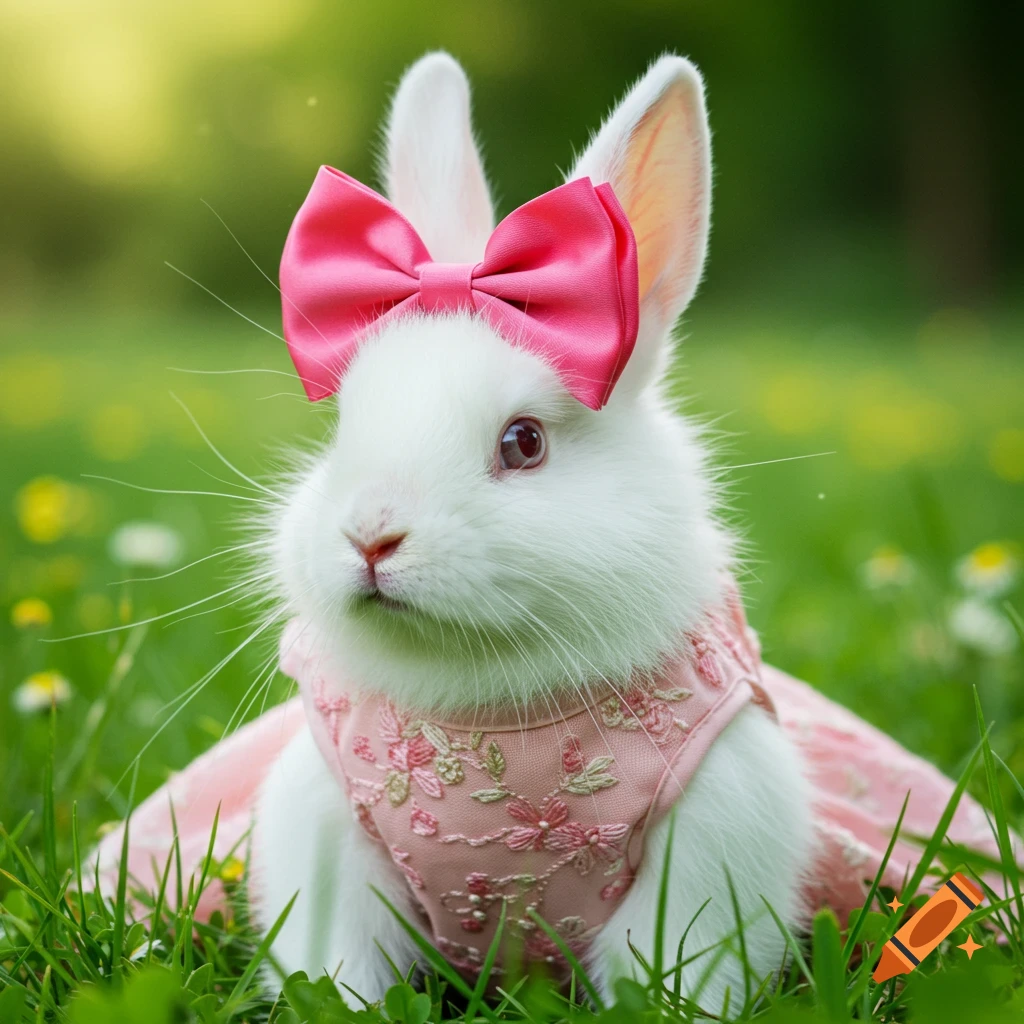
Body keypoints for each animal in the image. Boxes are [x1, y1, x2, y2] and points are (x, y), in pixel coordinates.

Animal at [250, 51, 815, 1012]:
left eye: (524, 443)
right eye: (342, 429)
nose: (370, 538)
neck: (496, 731)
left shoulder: (710, 839)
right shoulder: (327, 838)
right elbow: (343, 969)